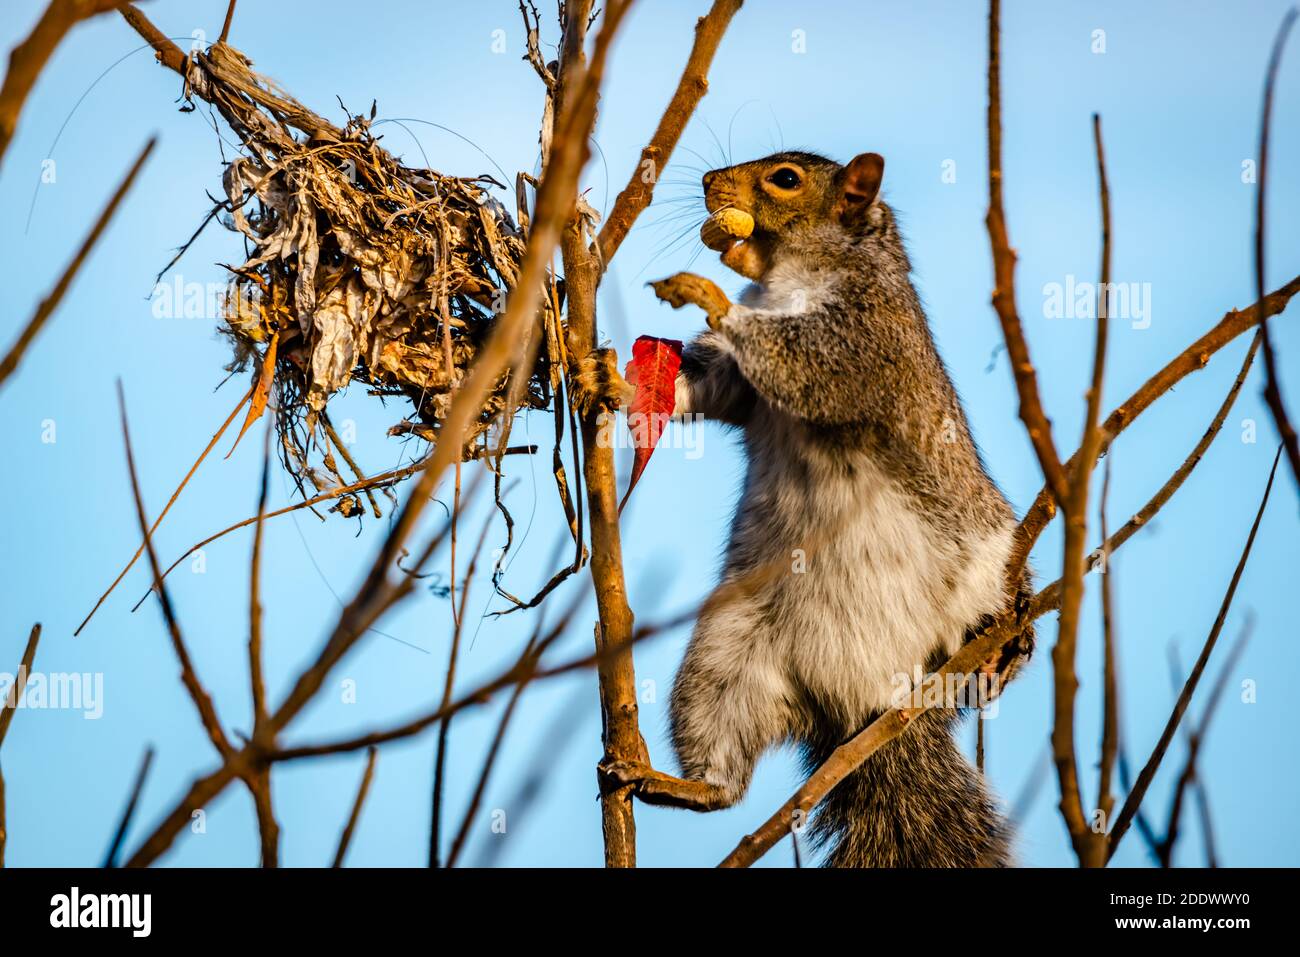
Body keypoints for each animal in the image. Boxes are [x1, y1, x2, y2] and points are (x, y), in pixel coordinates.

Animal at [577, 150, 1035, 867]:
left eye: (786, 178)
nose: (707, 183)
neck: (789, 281)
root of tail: (867, 703)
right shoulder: (740, 385)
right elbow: (709, 388)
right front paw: (609, 379)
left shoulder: (867, 338)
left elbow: (806, 367)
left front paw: (707, 297)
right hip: (727, 660)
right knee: (725, 782)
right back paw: (669, 781)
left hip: (984, 581)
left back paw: (1004, 644)